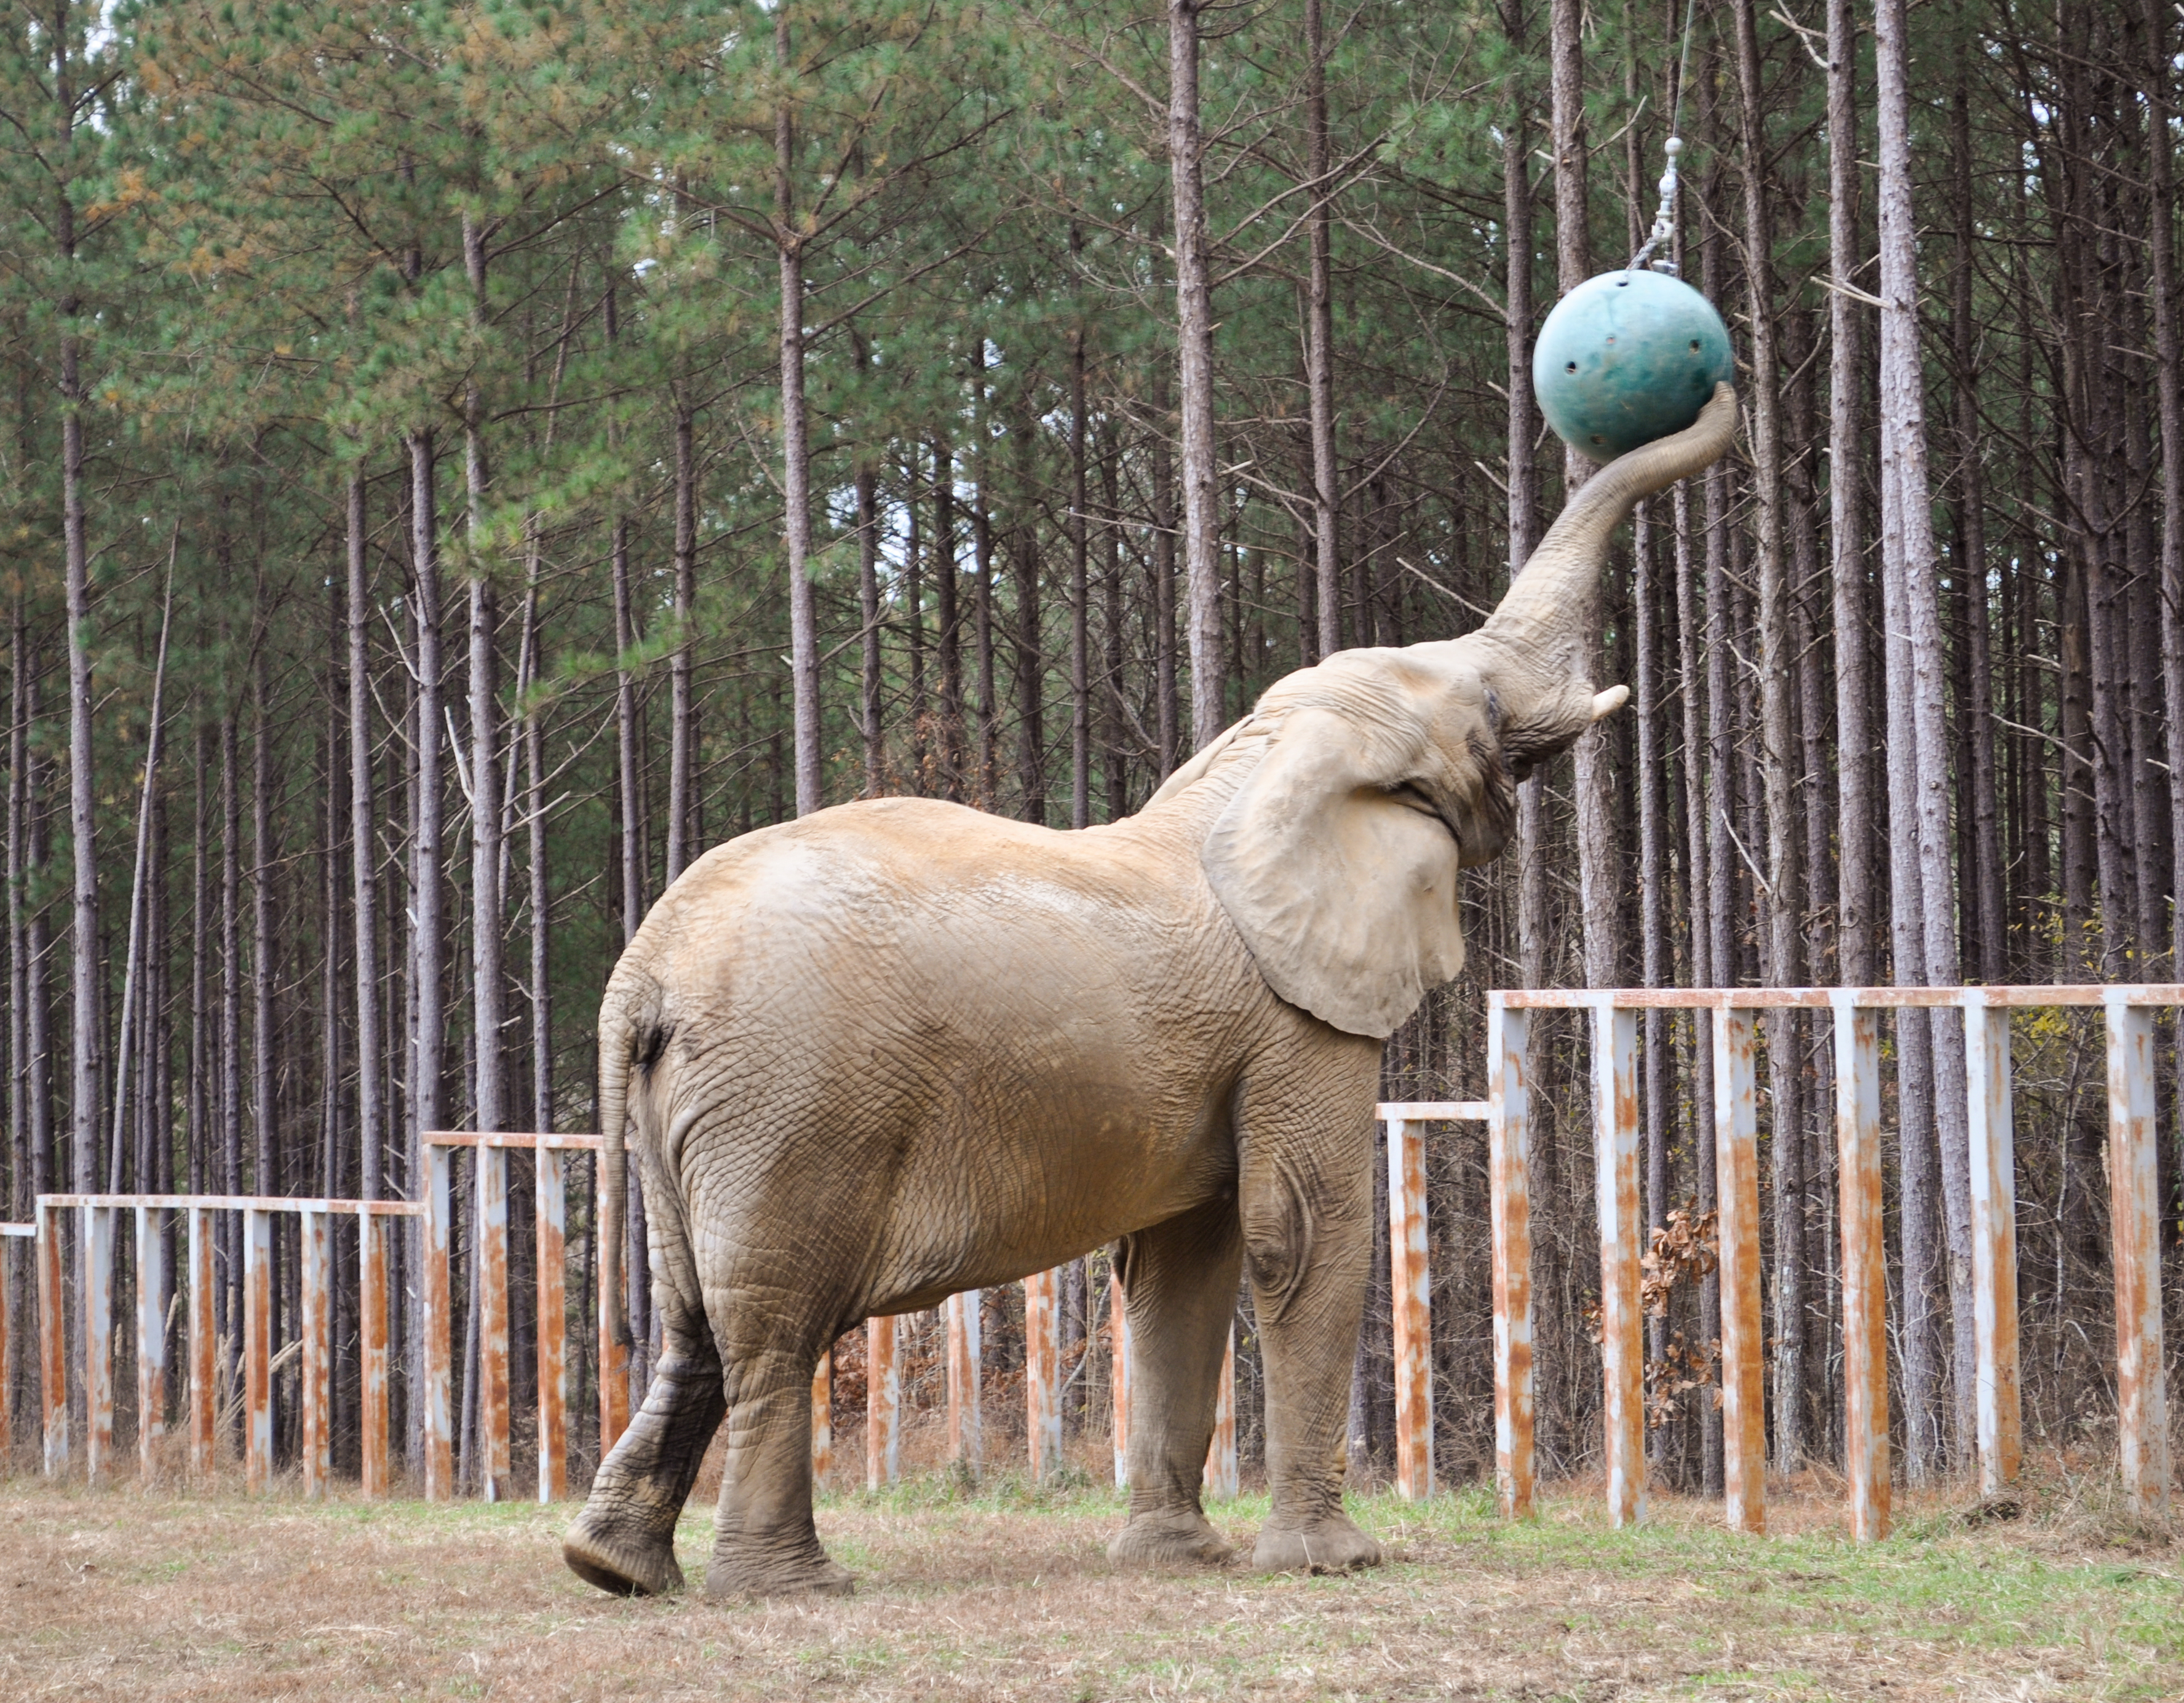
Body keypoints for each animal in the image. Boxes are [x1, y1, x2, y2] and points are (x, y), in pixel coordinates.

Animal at [561, 384, 1739, 1601]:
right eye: (1488, 711)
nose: (1708, 383)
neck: (1261, 759)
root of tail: (641, 975)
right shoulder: (1297, 1016)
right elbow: (1299, 1231)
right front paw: (1335, 1564)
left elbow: (1182, 1264)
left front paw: (1175, 1557)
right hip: (790, 1104)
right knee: (775, 1328)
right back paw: (790, 1586)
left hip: (697, 1112)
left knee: (692, 1323)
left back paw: (613, 1570)